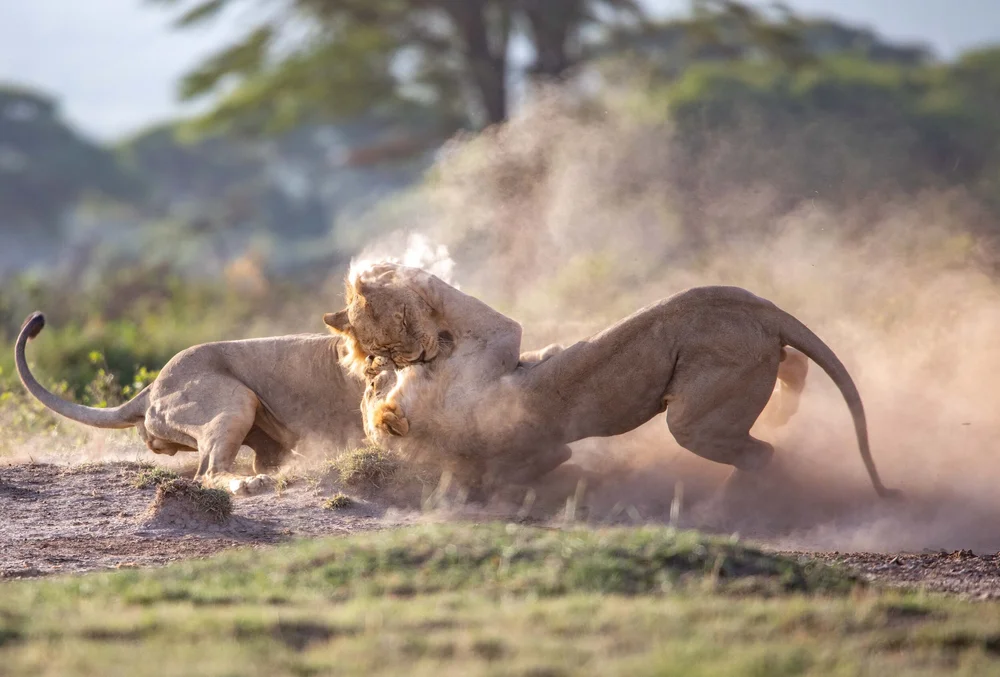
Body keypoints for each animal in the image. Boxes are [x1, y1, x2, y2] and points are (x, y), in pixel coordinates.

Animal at [327, 273, 898, 499]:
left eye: (371, 382)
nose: (373, 371)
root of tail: (764, 310)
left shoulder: (505, 353)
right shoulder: (495, 344)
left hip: (742, 331)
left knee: (791, 362)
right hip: (694, 410)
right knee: (760, 446)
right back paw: (729, 500)